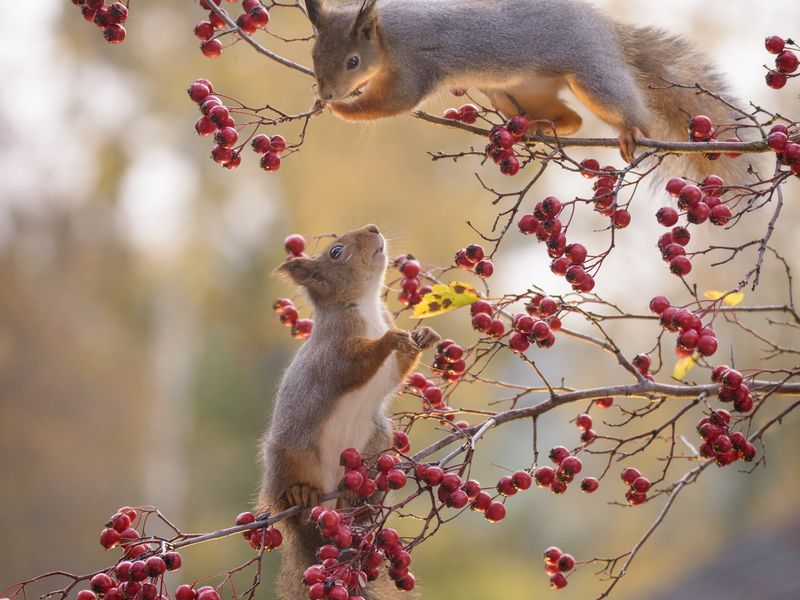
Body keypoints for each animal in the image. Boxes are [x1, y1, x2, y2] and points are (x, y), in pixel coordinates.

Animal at [258, 224, 440, 600]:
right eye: (336, 252)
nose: (373, 228)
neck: (367, 307)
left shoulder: (386, 368)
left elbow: (395, 374)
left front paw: (424, 334)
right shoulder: (335, 353)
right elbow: (354, 366)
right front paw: (388, 340)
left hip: (377, 439)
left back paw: (359, 495)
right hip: (289, 453)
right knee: (289, 505)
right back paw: (300, 494)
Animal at [305, 0, 747, 181]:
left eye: (352, 62)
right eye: (313, 53)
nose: (328, 93)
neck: (387, 35)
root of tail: (607, 29)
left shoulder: (416, 67)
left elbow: (394, 101)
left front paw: (343, 109)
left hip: (591, 72)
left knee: (620, 107)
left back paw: (631, 132)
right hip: (512, 91)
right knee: (572, 118)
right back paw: (538, 128)